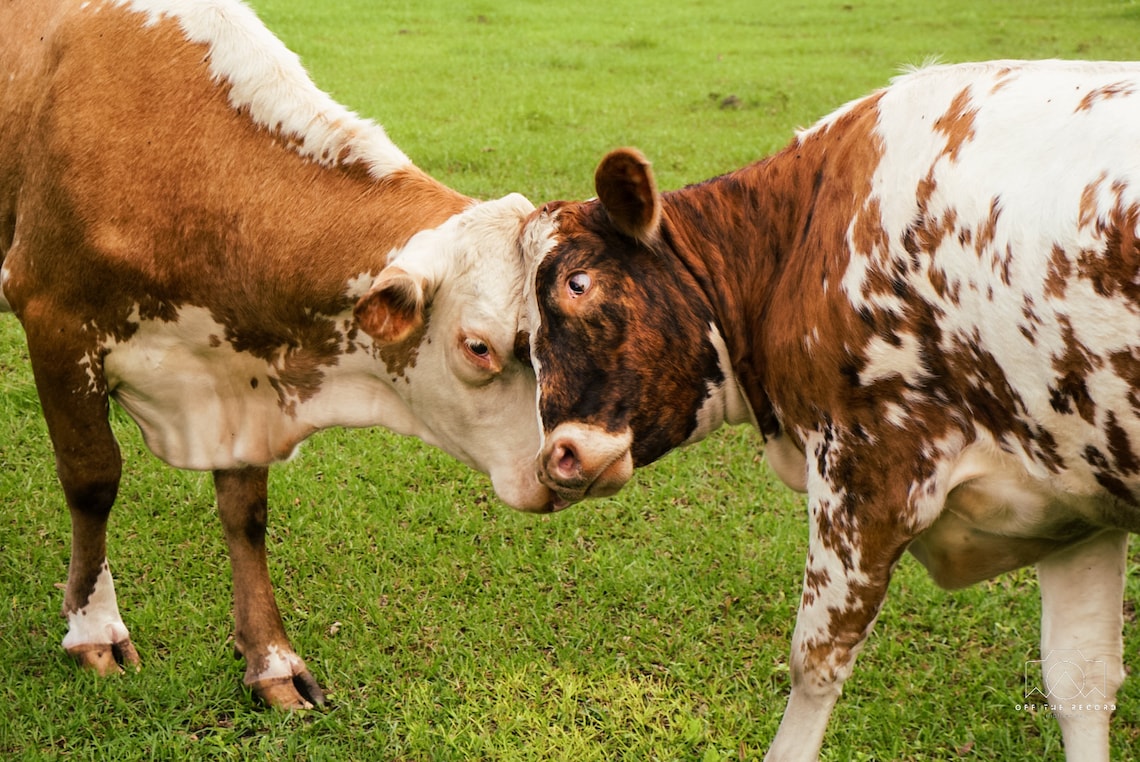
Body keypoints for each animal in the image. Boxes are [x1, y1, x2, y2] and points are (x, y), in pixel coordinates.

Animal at [0, 0, 550, 710]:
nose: (580, 463)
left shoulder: (239, 369)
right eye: (479, 347)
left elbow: (247, 513)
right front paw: (94, 629)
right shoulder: (54, 317)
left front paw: (270, 660)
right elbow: (93, 479)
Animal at [517, 60, 1140, 760]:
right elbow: (1080, 679)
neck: (800, 231)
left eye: (577, 283)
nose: (558, 457)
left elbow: (814, 663)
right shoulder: (1075, 498)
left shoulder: (870, 470)